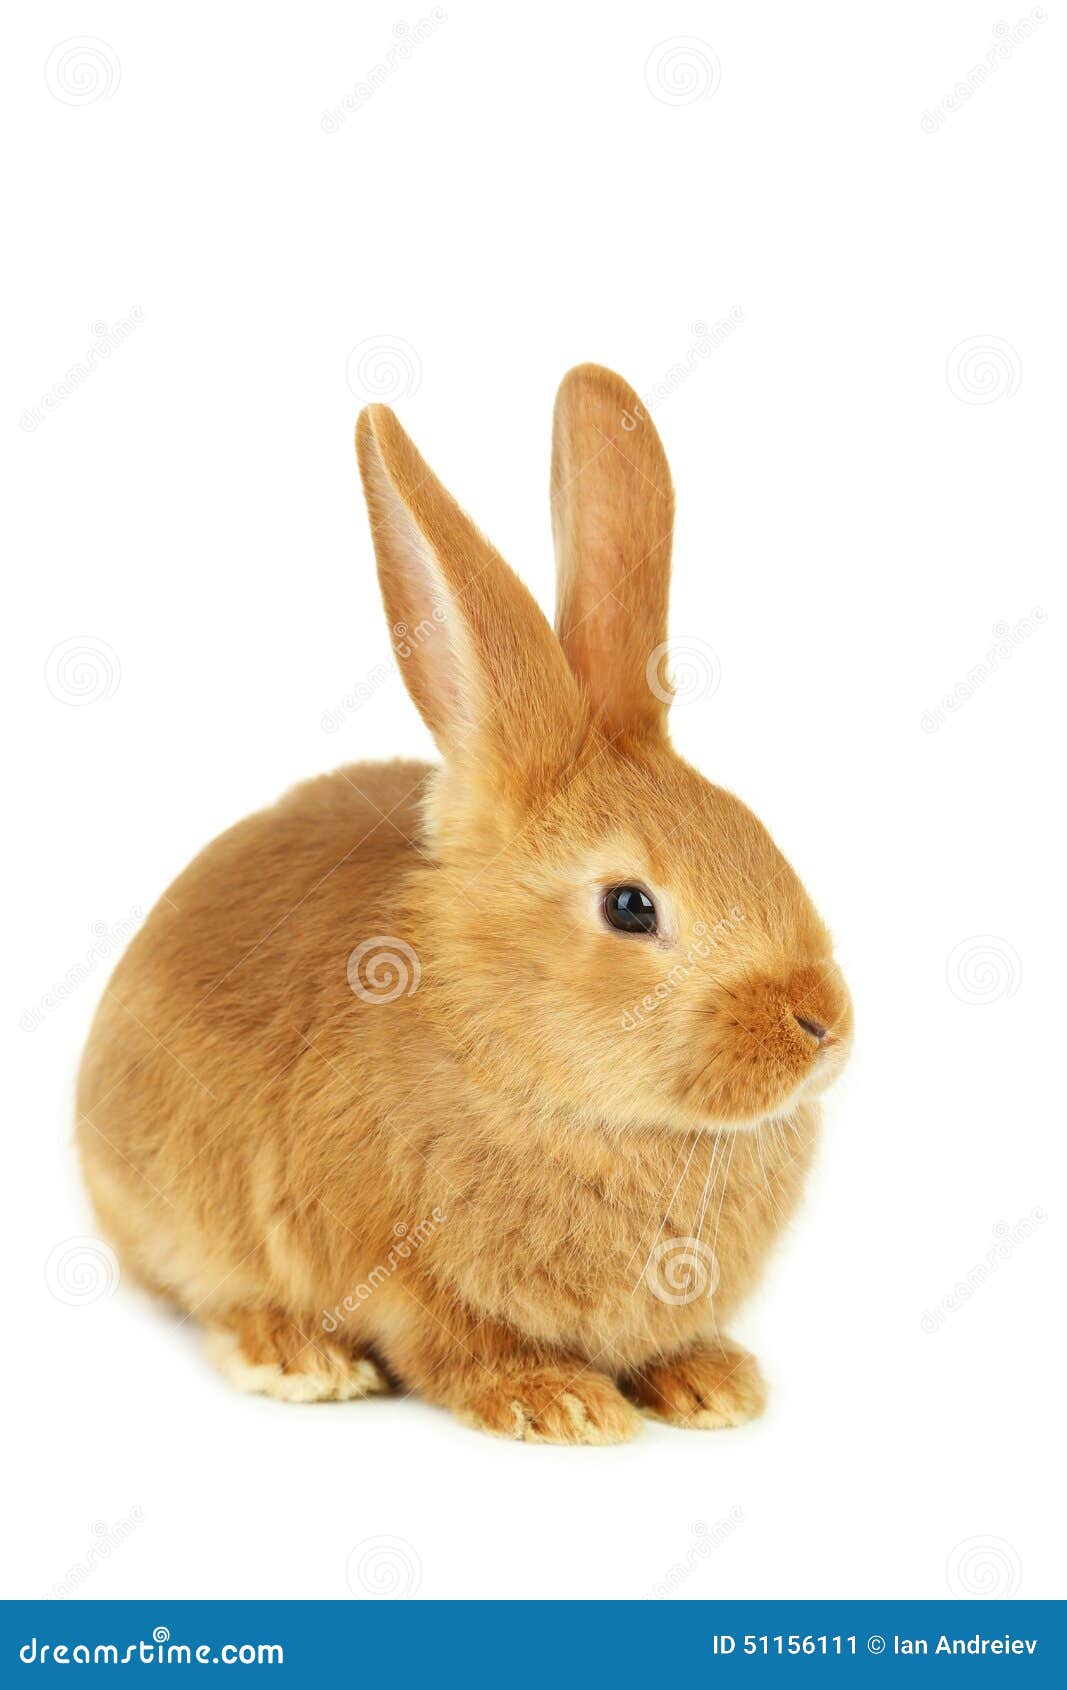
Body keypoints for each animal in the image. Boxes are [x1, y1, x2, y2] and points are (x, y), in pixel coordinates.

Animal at [77, 363, 852, 1443]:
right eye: (630, 906)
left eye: (757, 832)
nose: (820, 1022)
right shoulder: (391, 1260)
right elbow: (452, 1340)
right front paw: (555, 1401)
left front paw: (711, 1383)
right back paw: (299, 1358)